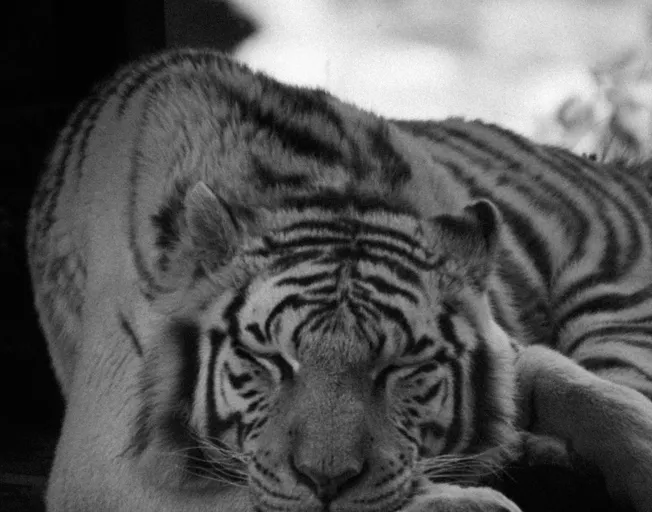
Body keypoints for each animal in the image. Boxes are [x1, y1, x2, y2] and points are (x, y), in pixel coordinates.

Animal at [26, 47, 652, 512]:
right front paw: (466, 498)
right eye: (271, 359)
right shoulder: (103, 463)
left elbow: (573, 381)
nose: (327, 480)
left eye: (401, 366)